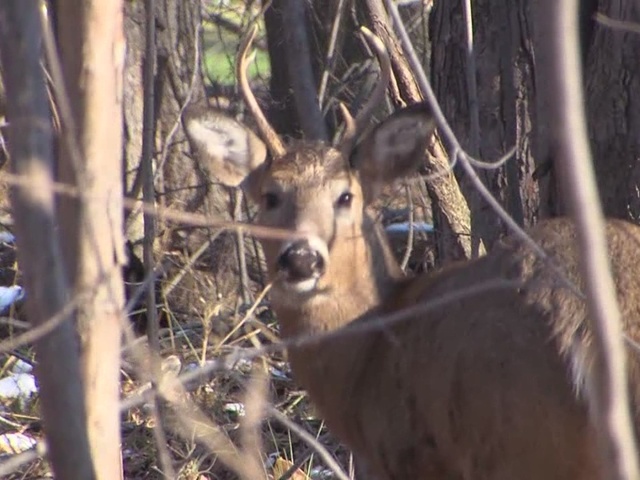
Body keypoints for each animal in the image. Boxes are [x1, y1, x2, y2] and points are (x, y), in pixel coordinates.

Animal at [184, 26, 640, 480]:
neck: (367, 351)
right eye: (271, 196)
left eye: (345, 196)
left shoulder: (406, 456)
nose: (301, 259)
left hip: (522, 436)